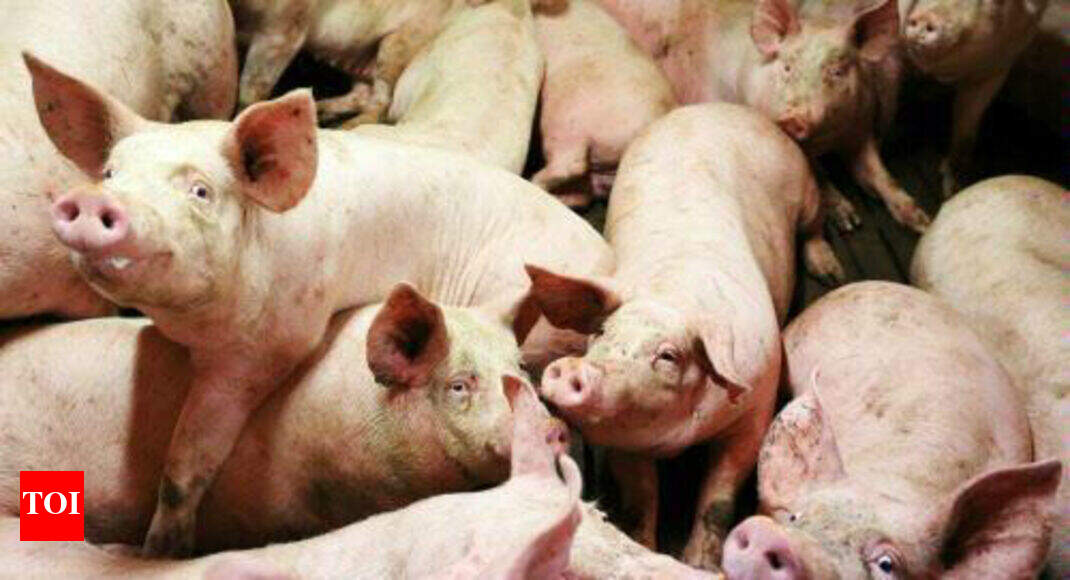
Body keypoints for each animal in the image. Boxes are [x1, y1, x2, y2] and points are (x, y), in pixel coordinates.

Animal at [24, 56, 613, 555]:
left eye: (200, 191)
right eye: (110, 174)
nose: (96, 202)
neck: (190, 324)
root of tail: (610, 273)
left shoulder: (270, 343)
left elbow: (188, 461)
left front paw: (160, 551)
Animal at [525, 103, 845, 570]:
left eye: (668, 355)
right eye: (601, 331)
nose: (572, 370)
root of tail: (714, 106)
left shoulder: (757, 409)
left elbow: (720, 498)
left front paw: (700, 563)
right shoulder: (626, 440)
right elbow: (641, 497)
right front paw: (646, 545)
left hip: (802, 187)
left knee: (814, 224)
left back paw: (830, 268)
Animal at [596, 0, 930, 233]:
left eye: (837, 71)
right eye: (787, 66)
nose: (795, 118)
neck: (827, 141)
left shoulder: (861, 129)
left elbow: (879, 175)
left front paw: (921, 221)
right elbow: (817, 174)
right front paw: (848, 220)